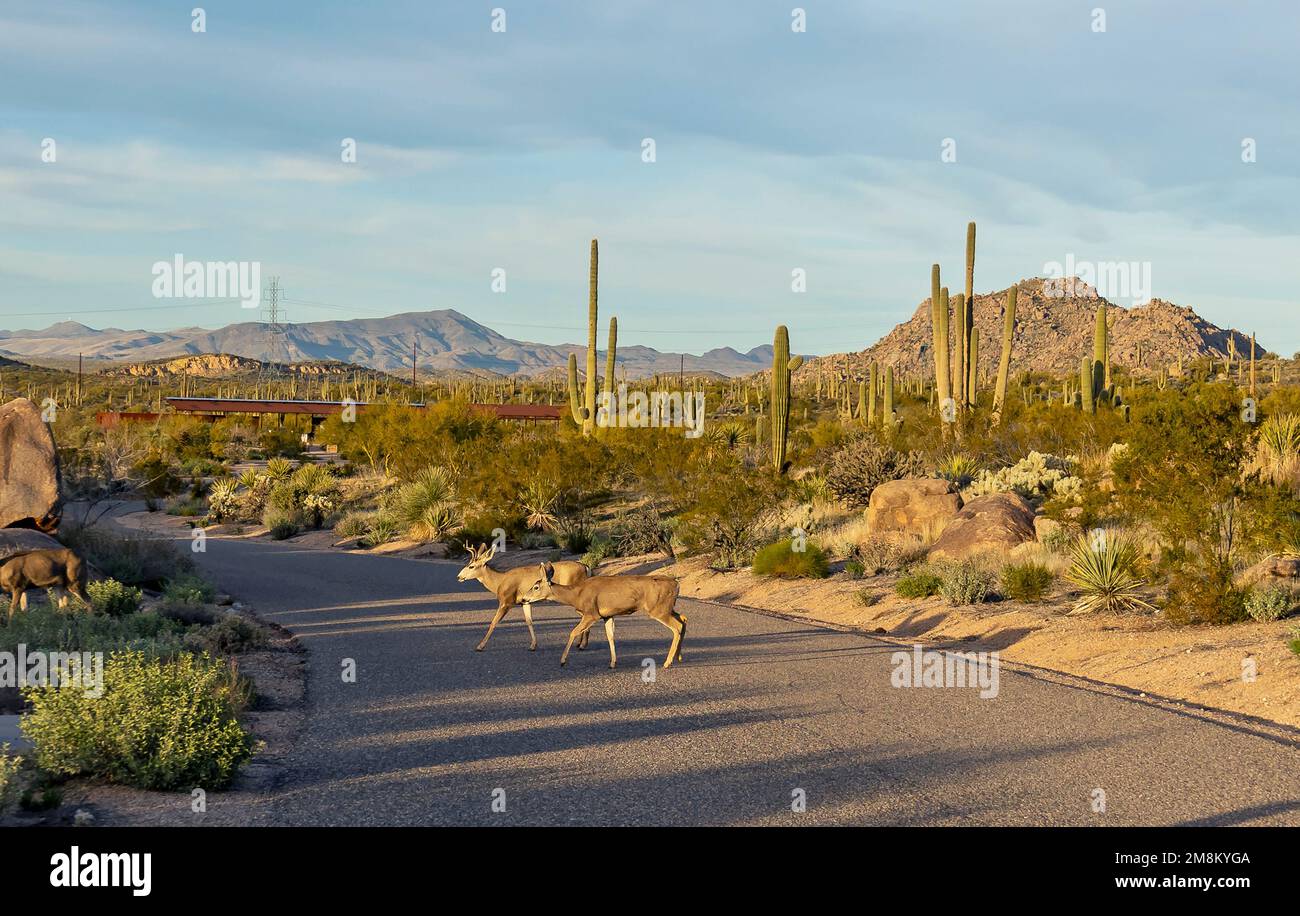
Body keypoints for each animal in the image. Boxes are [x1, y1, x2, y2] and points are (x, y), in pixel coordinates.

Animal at [456, 543, 592, 652]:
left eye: (471, 566)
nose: (459, 577)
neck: (499, 581)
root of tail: (586, 567)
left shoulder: (506, 601)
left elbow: (493, 622)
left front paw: (480, 646)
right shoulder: (525, 602)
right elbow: (529, 621)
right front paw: (533, 645)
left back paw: (583, 644)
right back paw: (580, 643)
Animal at [520, 562, 686, 670]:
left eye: (536, 587)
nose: (523, 599)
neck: (577, 595)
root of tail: (677, 584)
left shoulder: (591, 613)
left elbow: (573, 632)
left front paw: (562, 661)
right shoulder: (607, 615)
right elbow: (610, 636)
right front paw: (613, 663)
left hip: (658, 609)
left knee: (677, 626)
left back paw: (667, 662)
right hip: (667, 607)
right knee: (683, 620)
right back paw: (678, 657)